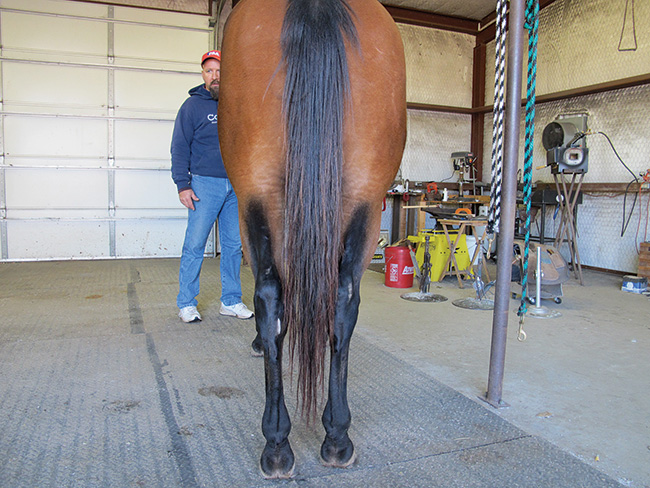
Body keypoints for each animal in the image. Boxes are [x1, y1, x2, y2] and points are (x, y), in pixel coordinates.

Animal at [218, 0, 406, 478]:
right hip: (363, 197)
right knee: (342, 300)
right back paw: (336, 436)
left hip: (258, 197)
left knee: (270, 296)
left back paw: (277, 443)